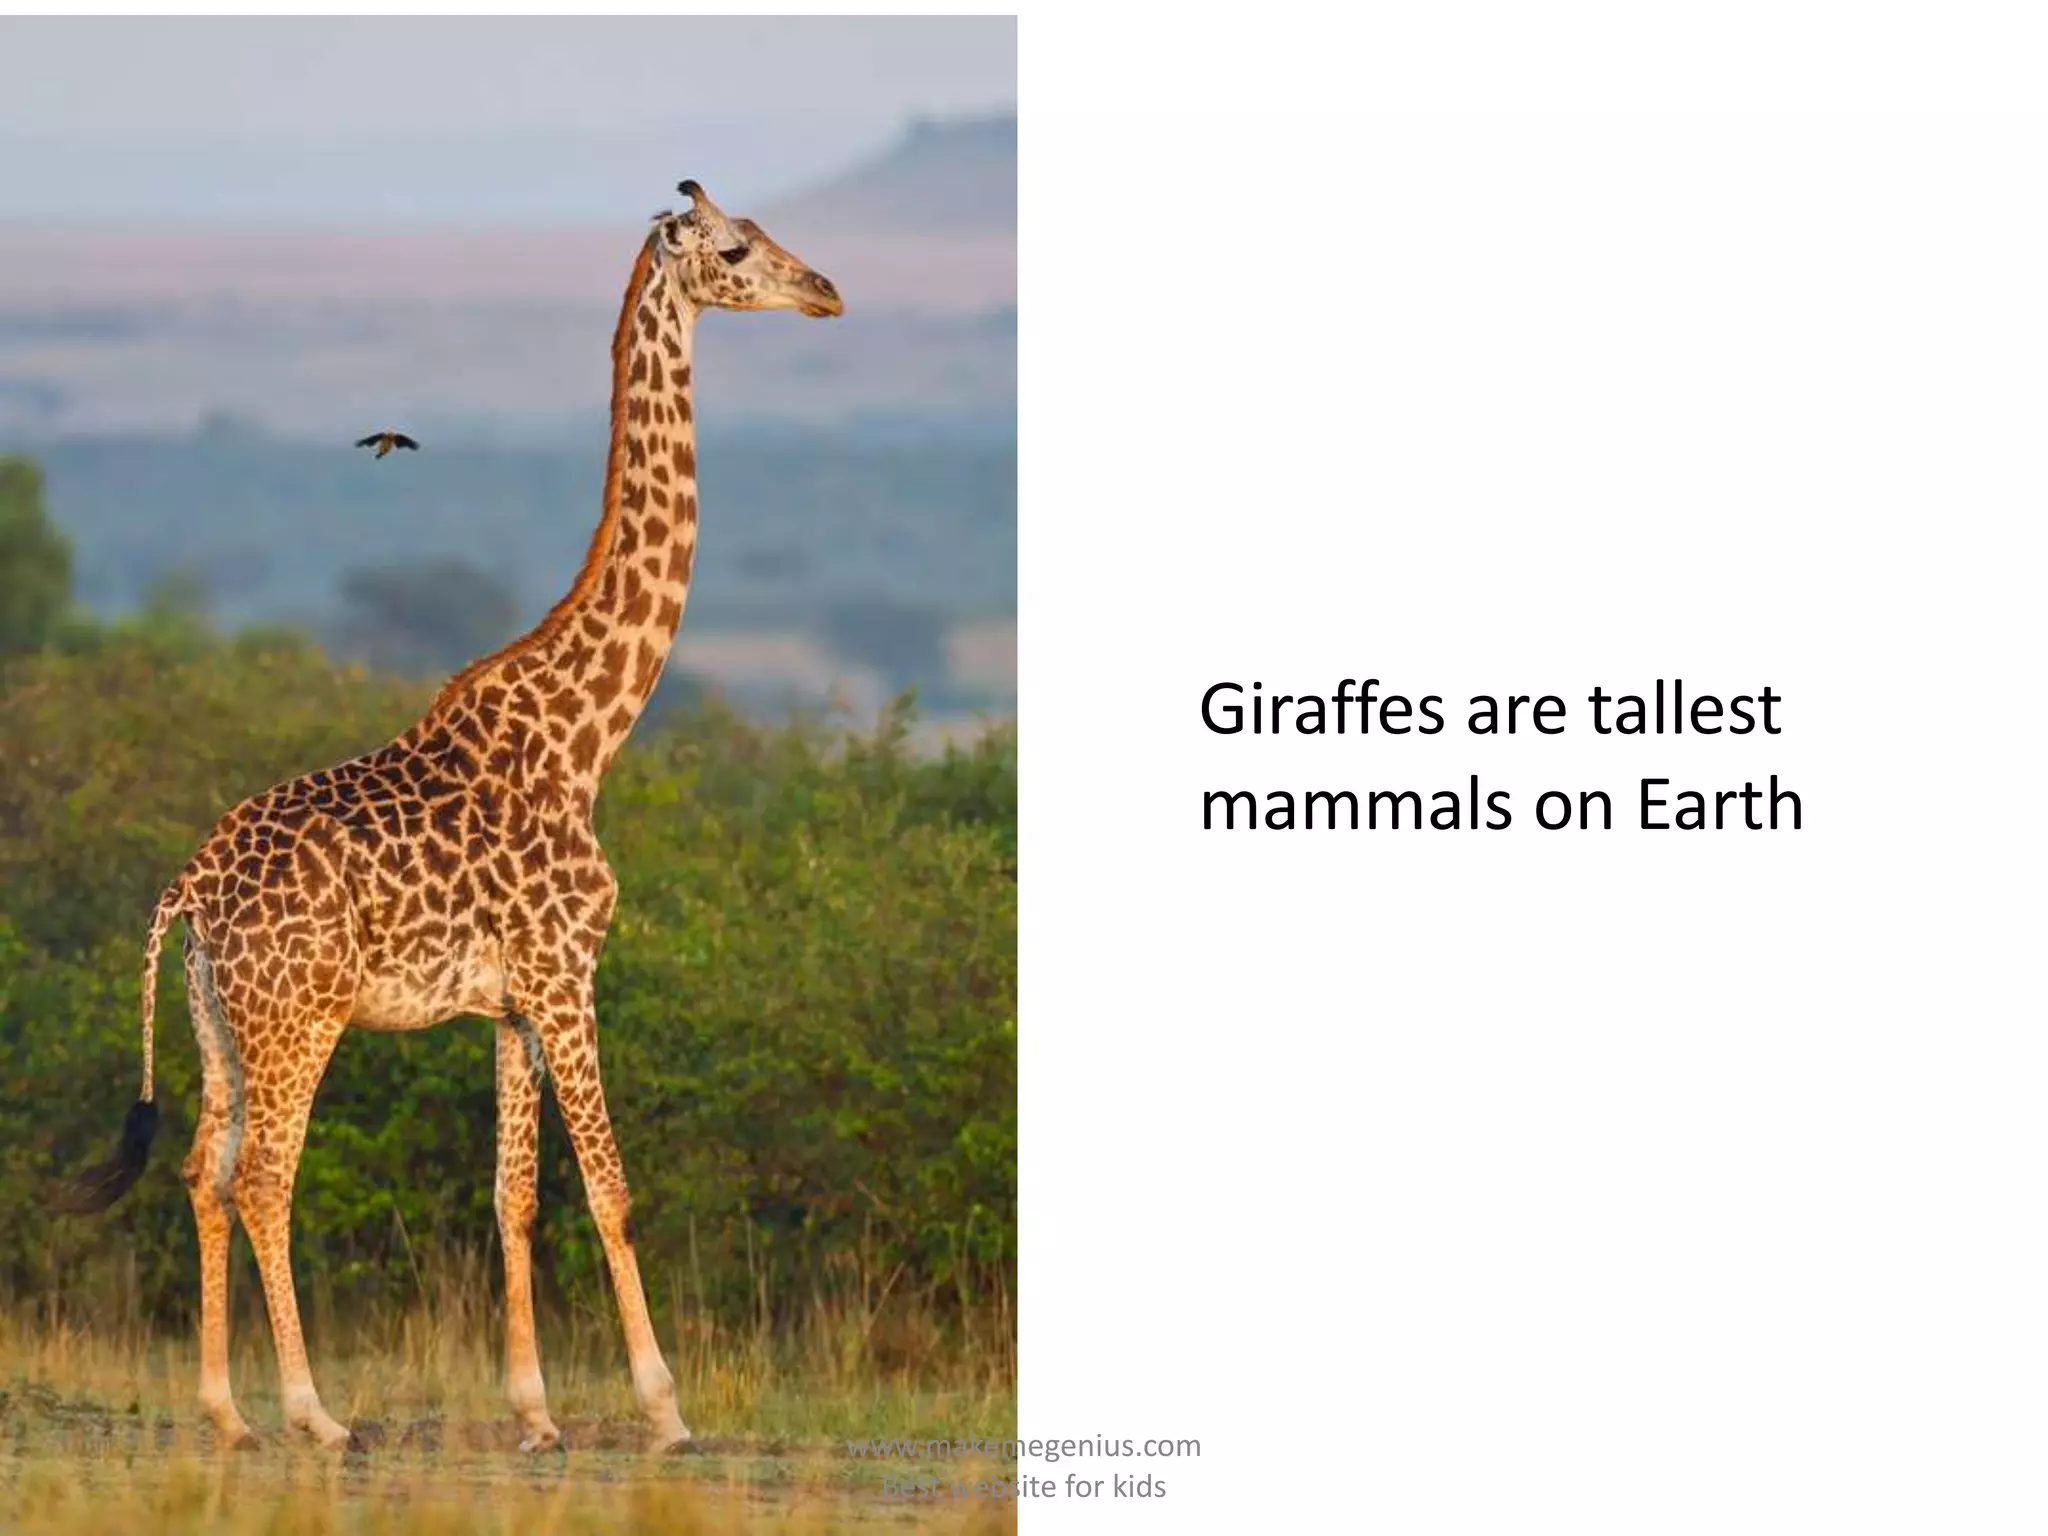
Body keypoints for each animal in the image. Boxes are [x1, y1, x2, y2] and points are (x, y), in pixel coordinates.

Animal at [54, 180, 843, 1454]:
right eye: (735, 250)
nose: (824, 291)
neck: (587, 735)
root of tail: (185, 892)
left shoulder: (512, 1002)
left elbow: (513, 1196)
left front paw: (534, 1414)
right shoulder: (569, 973)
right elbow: (612, 1189)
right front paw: (664, 1410)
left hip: (220, 1022)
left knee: (200, 1172)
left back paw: (226, 1414)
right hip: (300, 1020)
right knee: (264, 1178)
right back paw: (315, 1415)